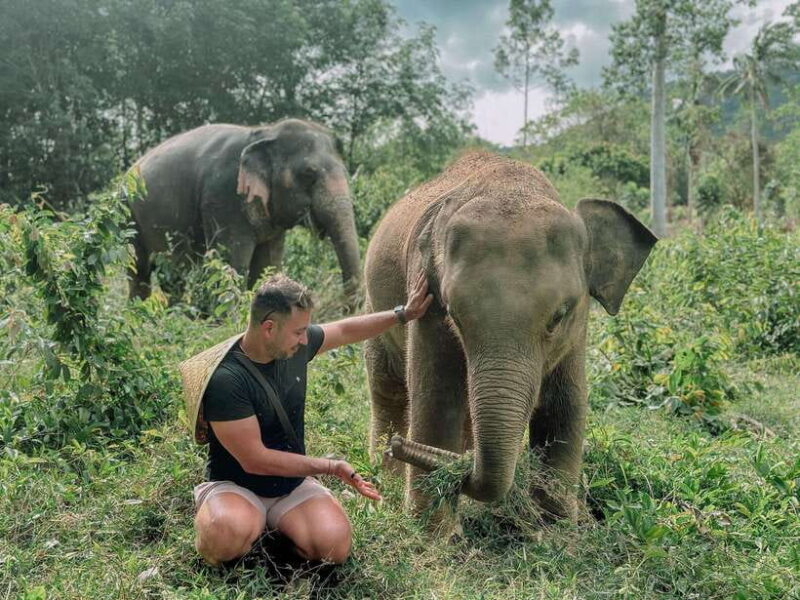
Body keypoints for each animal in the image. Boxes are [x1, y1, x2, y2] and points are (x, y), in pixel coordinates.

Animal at [126, 119, 360, 303]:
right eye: (308, 174)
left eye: (345, 170)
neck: (266, 132)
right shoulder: (224, 196)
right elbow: (232, 262)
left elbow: (267, 264)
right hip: (129, 218)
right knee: (141, 271)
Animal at [363, 151, 657, 521]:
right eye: (454, 315)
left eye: (559, 315)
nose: (399, 447)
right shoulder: (427, 298)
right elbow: (437, 399)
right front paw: (429, 531)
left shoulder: (577, 329)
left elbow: (565, 406)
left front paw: (559, 526)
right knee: (387, 388)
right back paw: (386, 489)